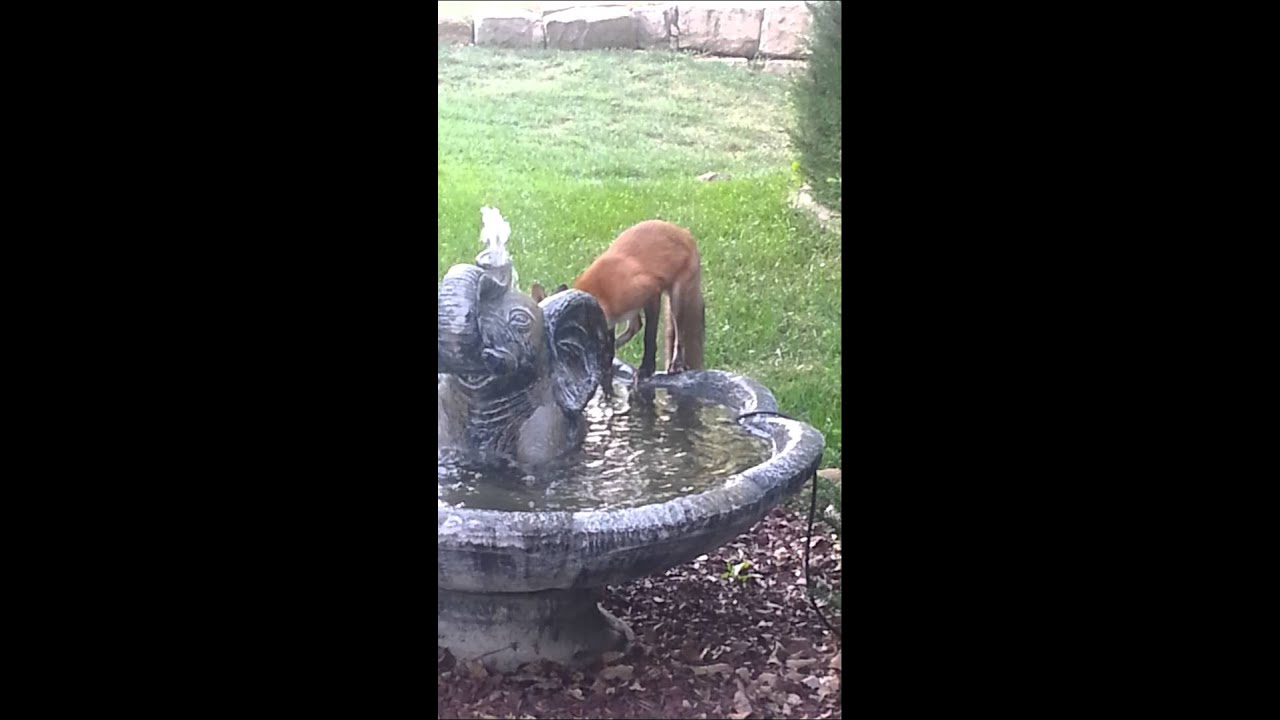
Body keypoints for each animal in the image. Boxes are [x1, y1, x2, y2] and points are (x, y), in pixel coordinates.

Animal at [534, 220, 705, 386]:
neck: (602, 291)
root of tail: (683, 231)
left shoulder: (651, 293)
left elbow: (649, 338)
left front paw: (646, 369)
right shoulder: (609, 320)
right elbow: (609, 342)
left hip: (677, 301)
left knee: (679, 334)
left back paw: (677, 364)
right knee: (636, 325)